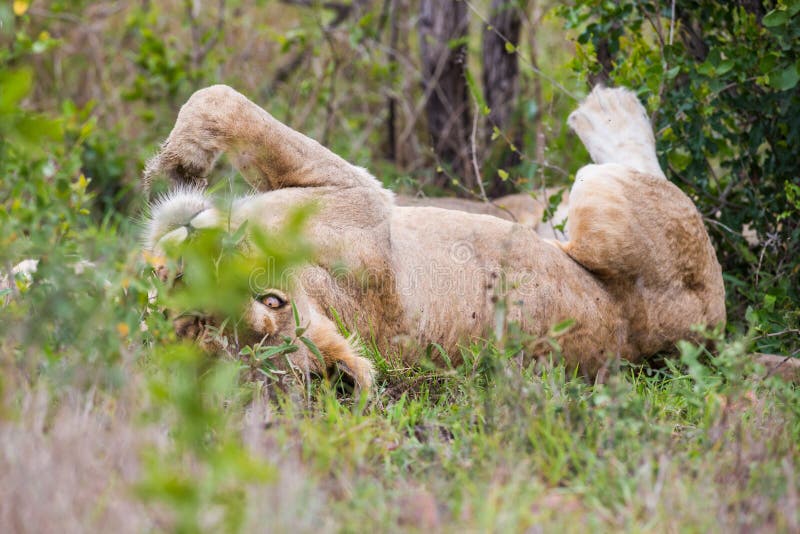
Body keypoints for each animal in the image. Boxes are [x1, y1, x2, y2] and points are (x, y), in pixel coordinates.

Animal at [142, 84, 726, 393]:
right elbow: (221, 103)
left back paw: (611, 109)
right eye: (190, 321)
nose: (192, 251)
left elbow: (219, 101)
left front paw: (175, 165)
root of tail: (703, 334)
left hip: (594, 204)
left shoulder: (356, 190)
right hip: (598, 211)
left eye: (271, 301)